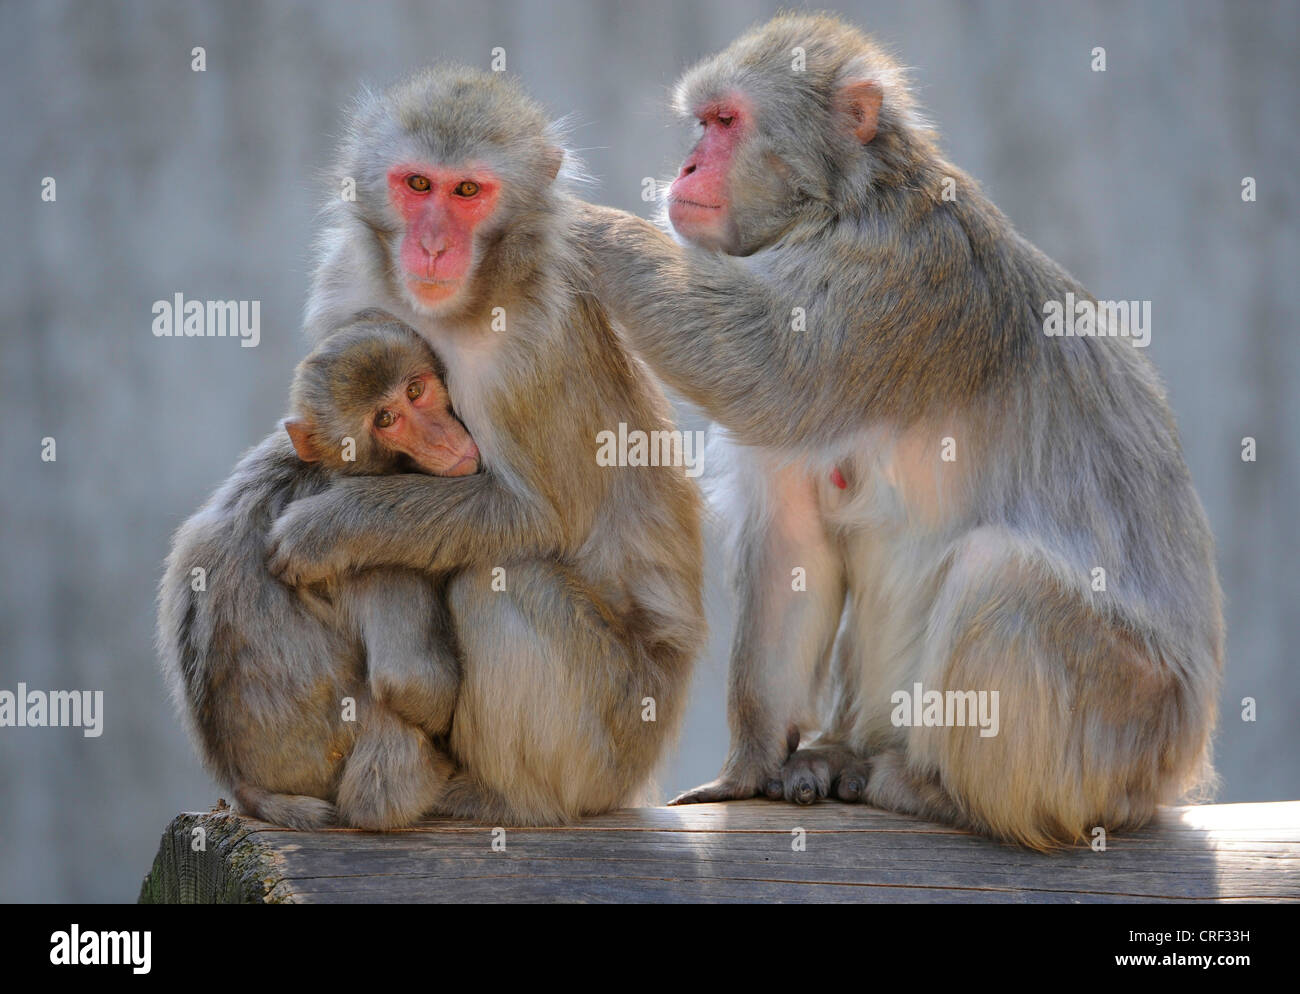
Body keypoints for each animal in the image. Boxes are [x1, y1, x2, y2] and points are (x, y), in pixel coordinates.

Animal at [157, 311, 480, 830]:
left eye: (415, 391)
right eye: (385, 420)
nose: (440, 437)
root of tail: (243, 785)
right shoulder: (373, 556)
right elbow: (409, 678)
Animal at [263, 65, 706, 825]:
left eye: (468, 192)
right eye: (419, 185)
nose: (433, 246)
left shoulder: (531, 347)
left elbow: (539, 517)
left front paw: (329, 529)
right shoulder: (344, 289)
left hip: (612, 737)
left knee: (501, 581)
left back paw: (502, 798)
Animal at [573, 12, 1224, 849]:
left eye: (724, 122)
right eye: (701, 125)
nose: (685, 167)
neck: (842, 203)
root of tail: (1177, 769)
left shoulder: (901, 281)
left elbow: (770, 369)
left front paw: (575, 225)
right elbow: (794, 543)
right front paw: (748, 769)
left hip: (1126, 732)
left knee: (998, 573)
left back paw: (942, 793)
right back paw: (846, 752)